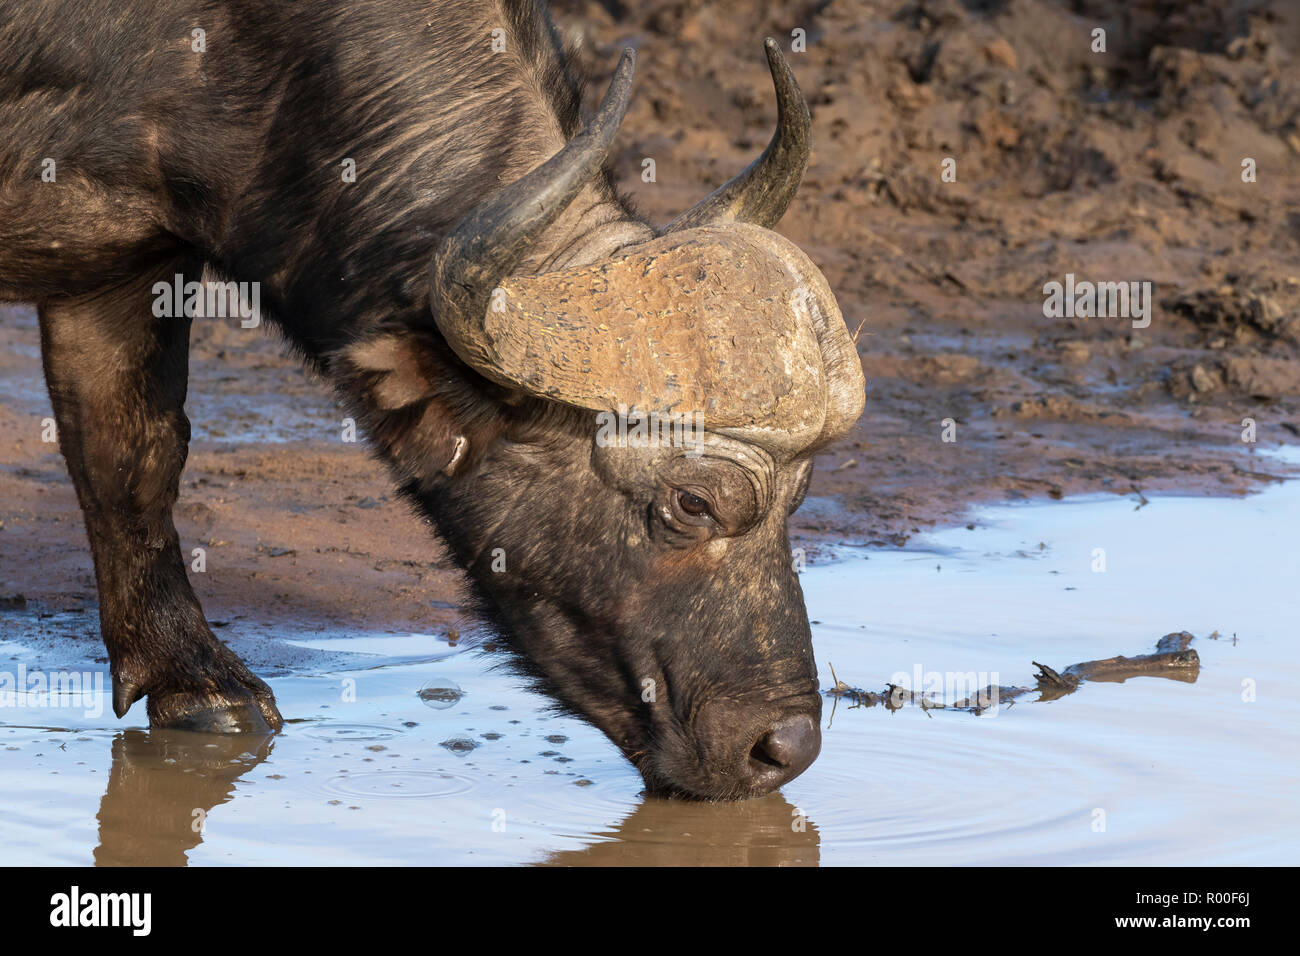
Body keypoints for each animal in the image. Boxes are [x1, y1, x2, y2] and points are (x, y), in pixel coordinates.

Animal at [0, 0, 865, 799]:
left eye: (801, 497)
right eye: (692, 502)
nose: (783, 748)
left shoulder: (114, 271)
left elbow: (130, 457)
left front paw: (191, 682)